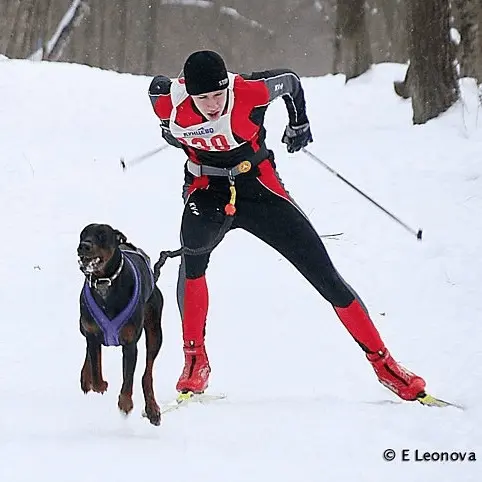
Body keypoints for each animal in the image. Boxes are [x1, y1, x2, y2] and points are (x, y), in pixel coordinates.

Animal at [77, 222, 164, 426]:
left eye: (102, 235)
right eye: (83, 235)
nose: (84, 245)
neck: (104, 282)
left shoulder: (130, 343)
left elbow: (128, 378)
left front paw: (125, 403)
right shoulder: (91, 333)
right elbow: (95, 366)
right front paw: (99, 384)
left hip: (155, 330)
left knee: (147, 373)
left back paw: (152, 408)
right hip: (82, 326)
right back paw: (85, 377)